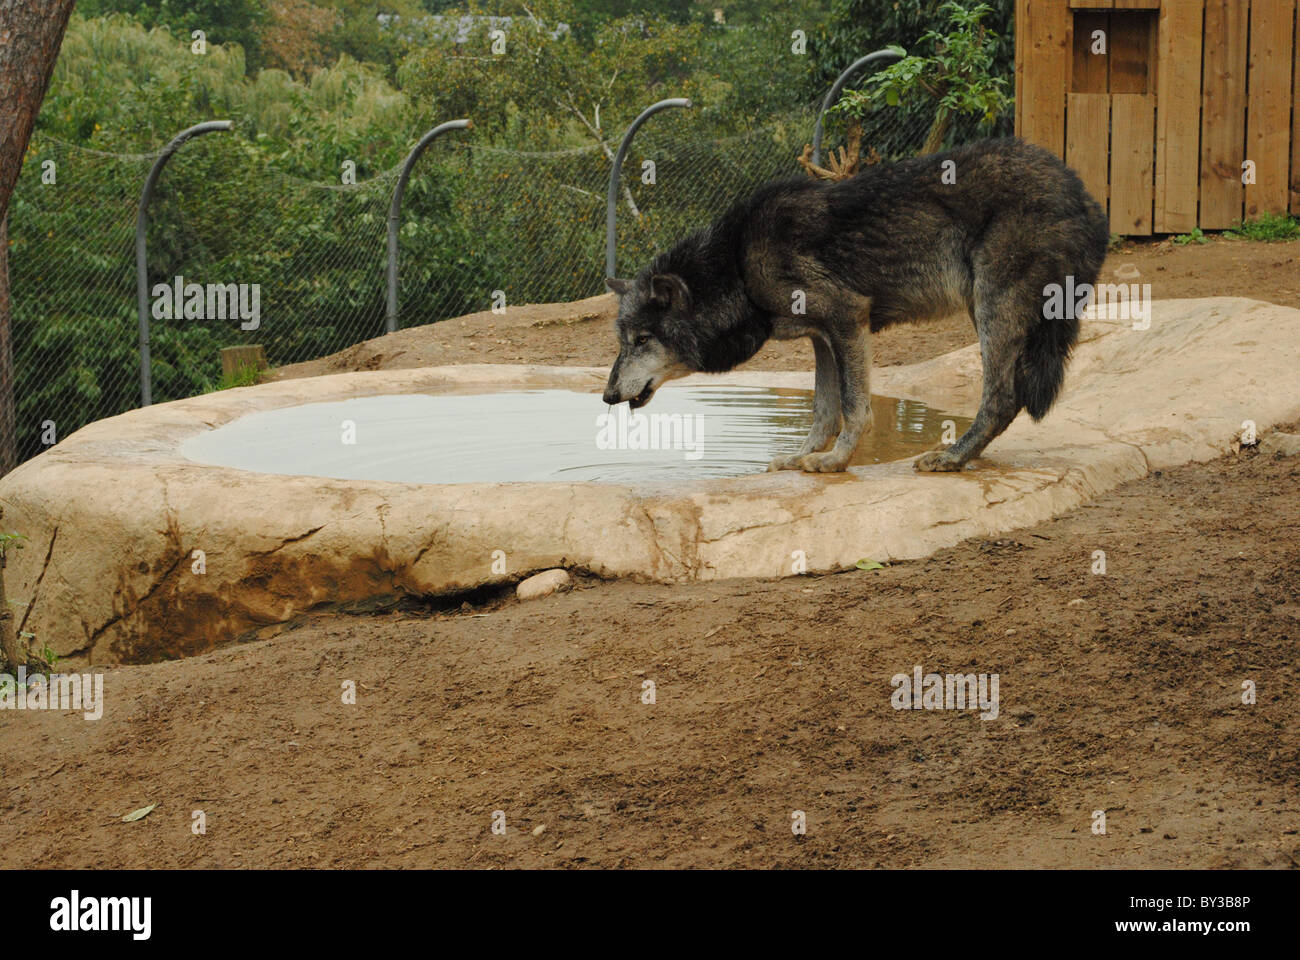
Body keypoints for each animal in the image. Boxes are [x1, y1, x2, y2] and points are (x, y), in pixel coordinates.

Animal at [602, 137, 1110, 473]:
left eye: (641, 340)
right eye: (622, 341)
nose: (607, 396)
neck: (737, 264)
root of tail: (1085, 195)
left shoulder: (848, 319)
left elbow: (854, 406)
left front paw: (836, 462)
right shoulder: (822, 337)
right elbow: (824, 410)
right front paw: (801, 457)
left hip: (992, 311)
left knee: (1002, 397)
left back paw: (951, 457)